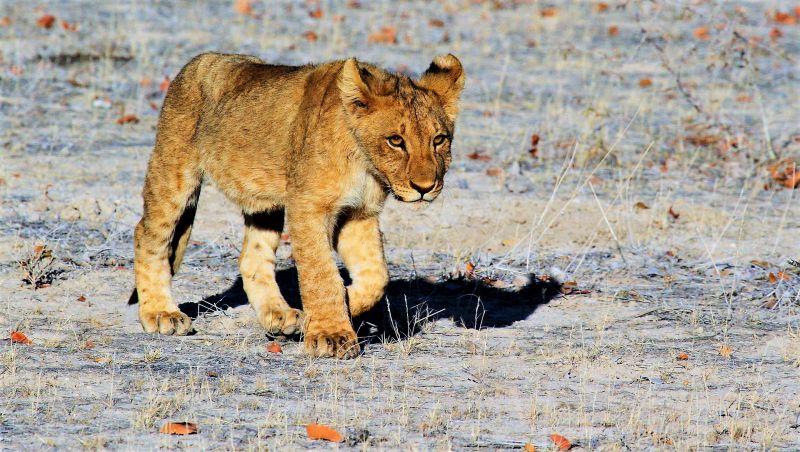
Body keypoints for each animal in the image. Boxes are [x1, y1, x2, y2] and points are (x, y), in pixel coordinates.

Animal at [129, 52, 464, 358]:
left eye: (439, 139)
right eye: (395, 140)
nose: (425, 188)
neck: (365, 164)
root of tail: (196, 62)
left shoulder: (358, 213)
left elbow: (376, 276)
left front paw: (340, 306)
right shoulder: (308, 206)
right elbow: (321, 273)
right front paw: (331, 335)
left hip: (264, 204)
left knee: (252, 258)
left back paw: (280, 316)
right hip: (174, 172)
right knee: (148, 234)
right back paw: (160, 313)